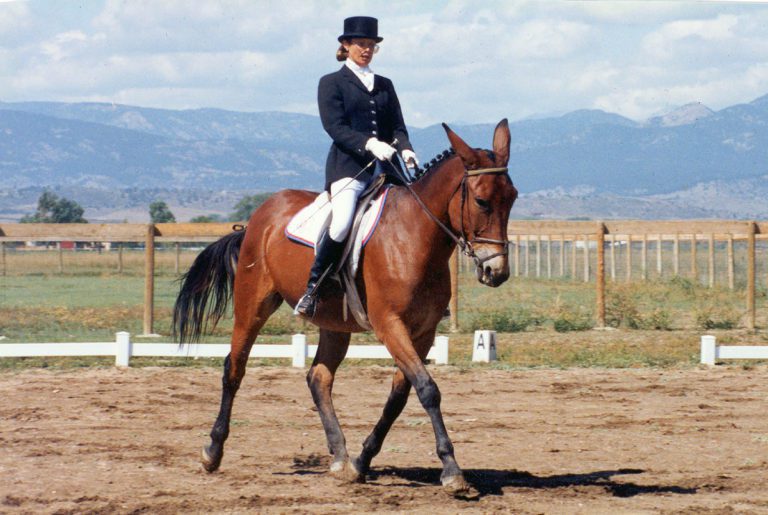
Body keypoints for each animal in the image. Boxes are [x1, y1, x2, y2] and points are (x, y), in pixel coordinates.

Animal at [173, 119, 517, 496]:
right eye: (482, 201)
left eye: (512, 198)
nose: (497, 271)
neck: (415, 236)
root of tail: (257, 218)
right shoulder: (389, 323)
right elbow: (428, 390)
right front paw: (452, 470)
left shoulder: (423, 332)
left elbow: (400, 395)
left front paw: (362, 461)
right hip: (253, 304)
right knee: (234, 368)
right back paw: (212, 451)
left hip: (333, 323)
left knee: (318, 378)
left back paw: (340, 457)